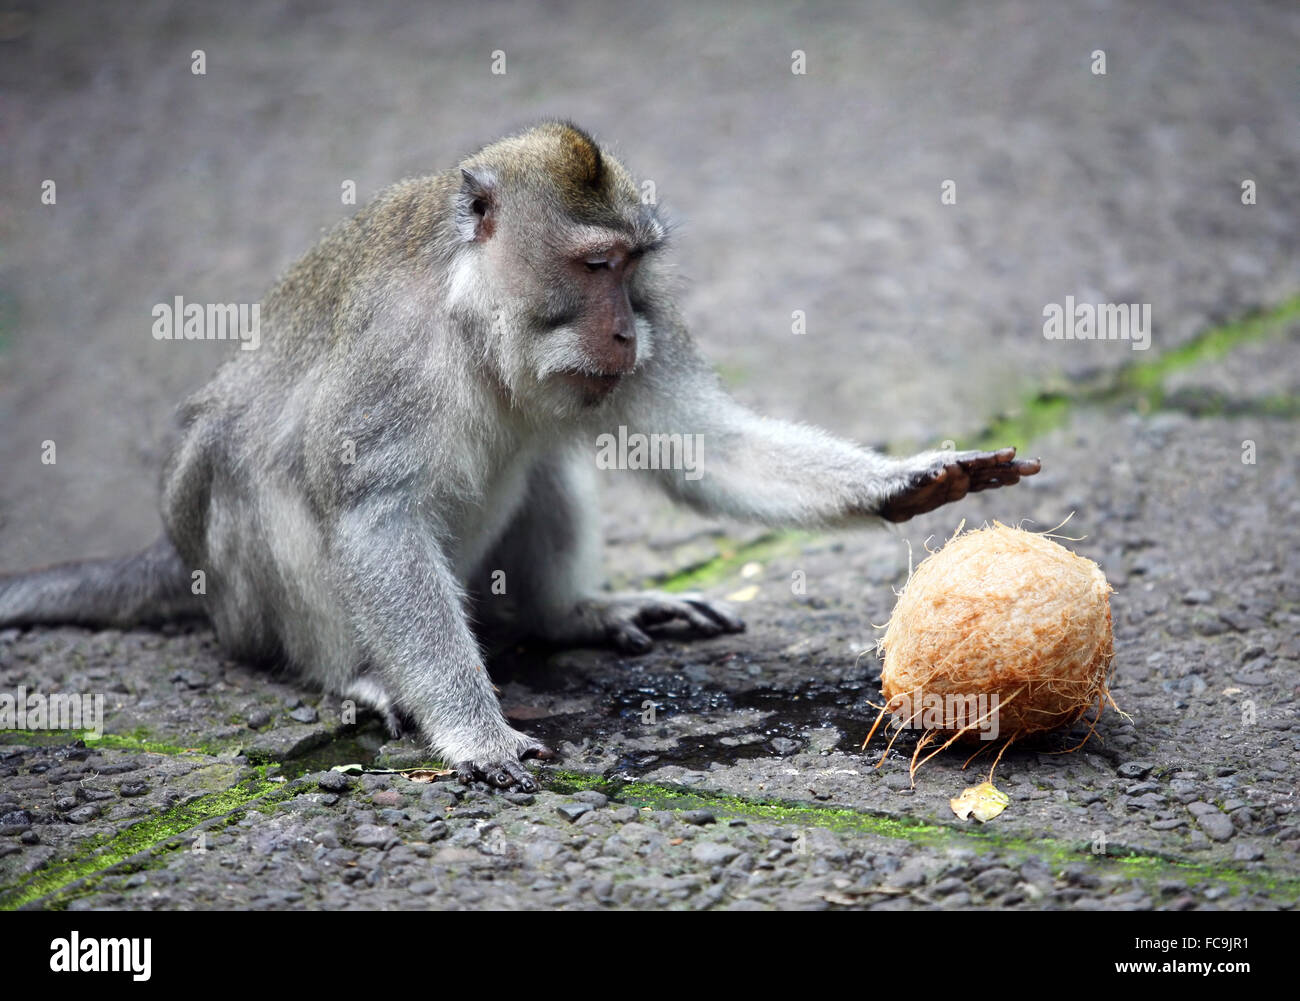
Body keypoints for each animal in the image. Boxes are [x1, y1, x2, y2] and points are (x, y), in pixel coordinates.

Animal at [0, 121, 1040, 791]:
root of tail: (181, 562)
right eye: (594, 265)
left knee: (544, 461)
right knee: (269, 481)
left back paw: (567, 613)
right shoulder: (395, 356)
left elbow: (705, 445)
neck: (476, 324)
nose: (626, 331)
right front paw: (471, 730)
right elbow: (373, 517)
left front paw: (913, 478)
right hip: (235, 587)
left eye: (636, 267)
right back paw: (357, 672)